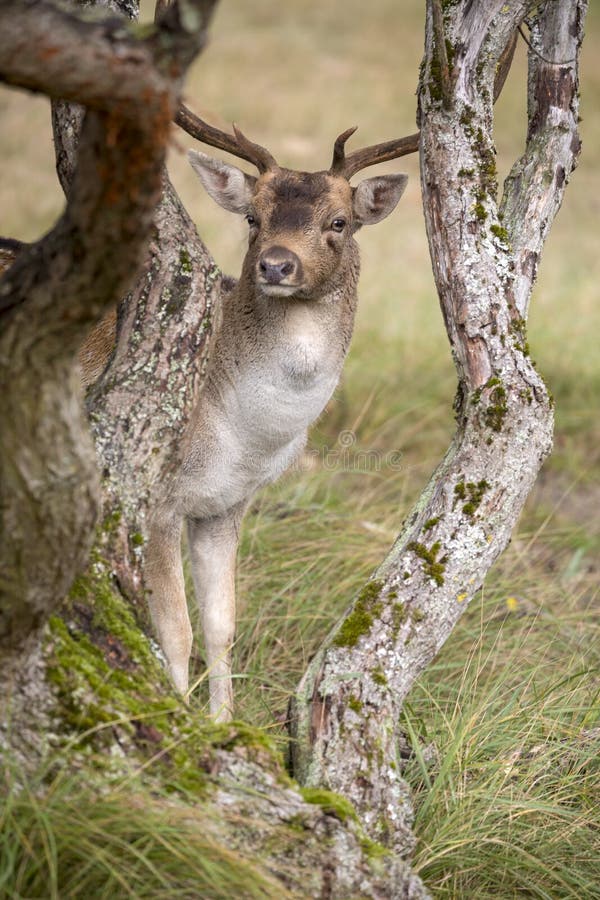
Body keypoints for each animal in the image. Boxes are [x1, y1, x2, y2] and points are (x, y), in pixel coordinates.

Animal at [0, 116, 413, 721]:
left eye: (339, 221)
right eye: (253, 217)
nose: (277, 264)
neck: (243, 438)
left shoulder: (226, 505)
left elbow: (222, 626)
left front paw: (224, 721)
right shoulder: (155, 498)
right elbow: (175, 632)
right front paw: (177, 715)